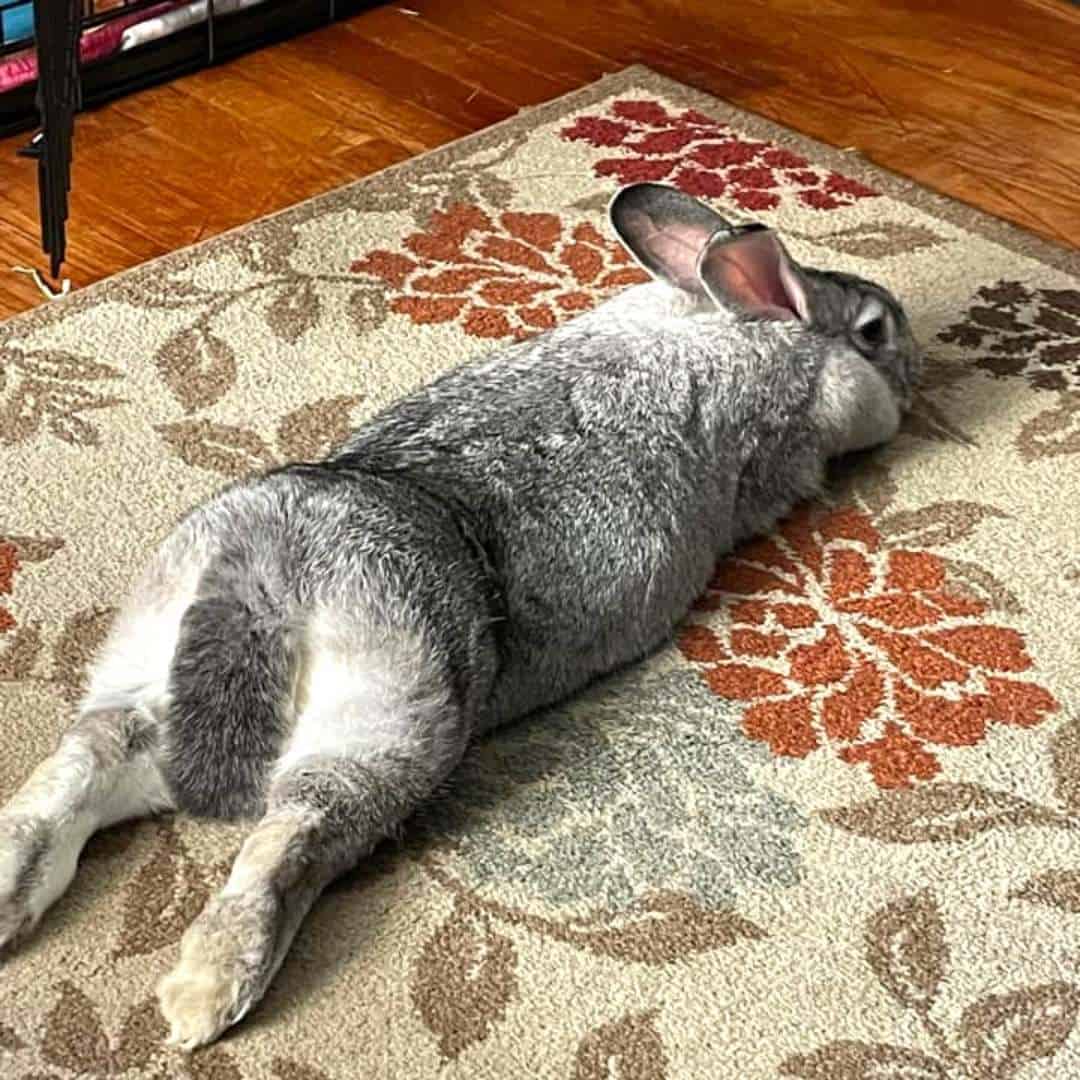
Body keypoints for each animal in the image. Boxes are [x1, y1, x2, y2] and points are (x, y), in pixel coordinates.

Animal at [0, 181, 921, 1049]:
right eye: (874, 328)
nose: (916, 362)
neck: (742, 330)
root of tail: (265, 563)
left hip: (151, 669)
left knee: (86, 765)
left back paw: (13, 899)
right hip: (395, 718)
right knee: (293, 836)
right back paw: (206, 995)